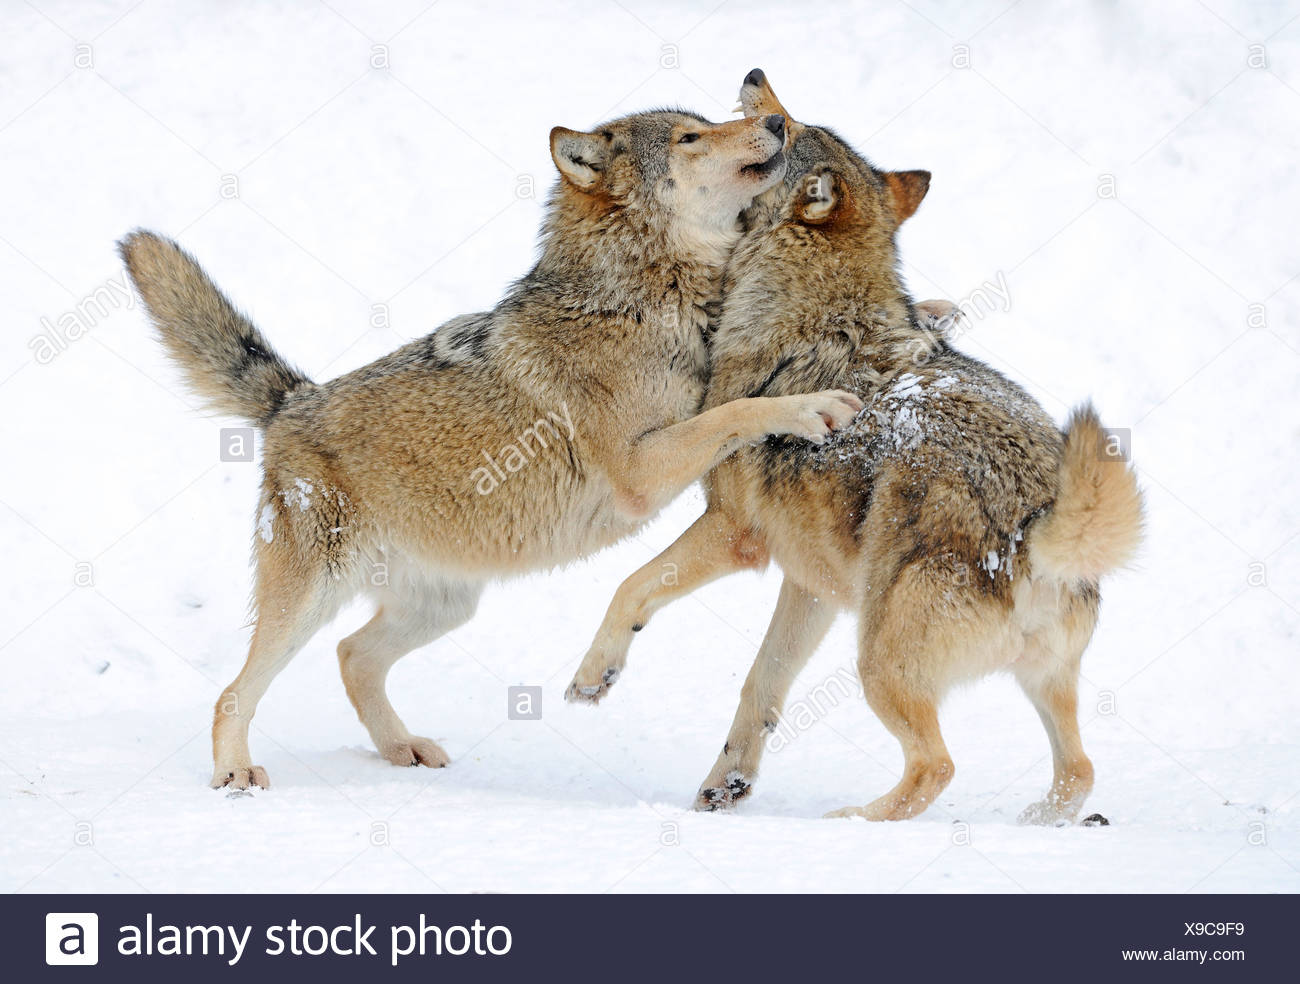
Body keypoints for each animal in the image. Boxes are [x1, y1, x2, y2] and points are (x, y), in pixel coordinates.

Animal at [119, 106, 866, 789]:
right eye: (692, 137)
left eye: (712, 117)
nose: (778, 120)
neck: (641, 300)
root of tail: (291, 400)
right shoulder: (639, 471)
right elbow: (735, 411)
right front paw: (810, 407)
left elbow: (728, 410)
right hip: (309, 602)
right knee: (233, 692)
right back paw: (235, 773)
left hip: (443, 607)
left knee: (352, 655)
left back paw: (401, 748)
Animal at [566, 72, 1144, 824]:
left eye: (785, 124)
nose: (756, 78)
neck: (808, 311)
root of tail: (1032, 532)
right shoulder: (811, 584)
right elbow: (761, 685)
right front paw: (725, 786)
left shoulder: (735, 533)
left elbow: (631, 587)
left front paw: (592, 676)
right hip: (1027, 678)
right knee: (1078, 771)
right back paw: (1036, 825)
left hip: (878, 663)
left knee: (936, 767)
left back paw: (851, 823)